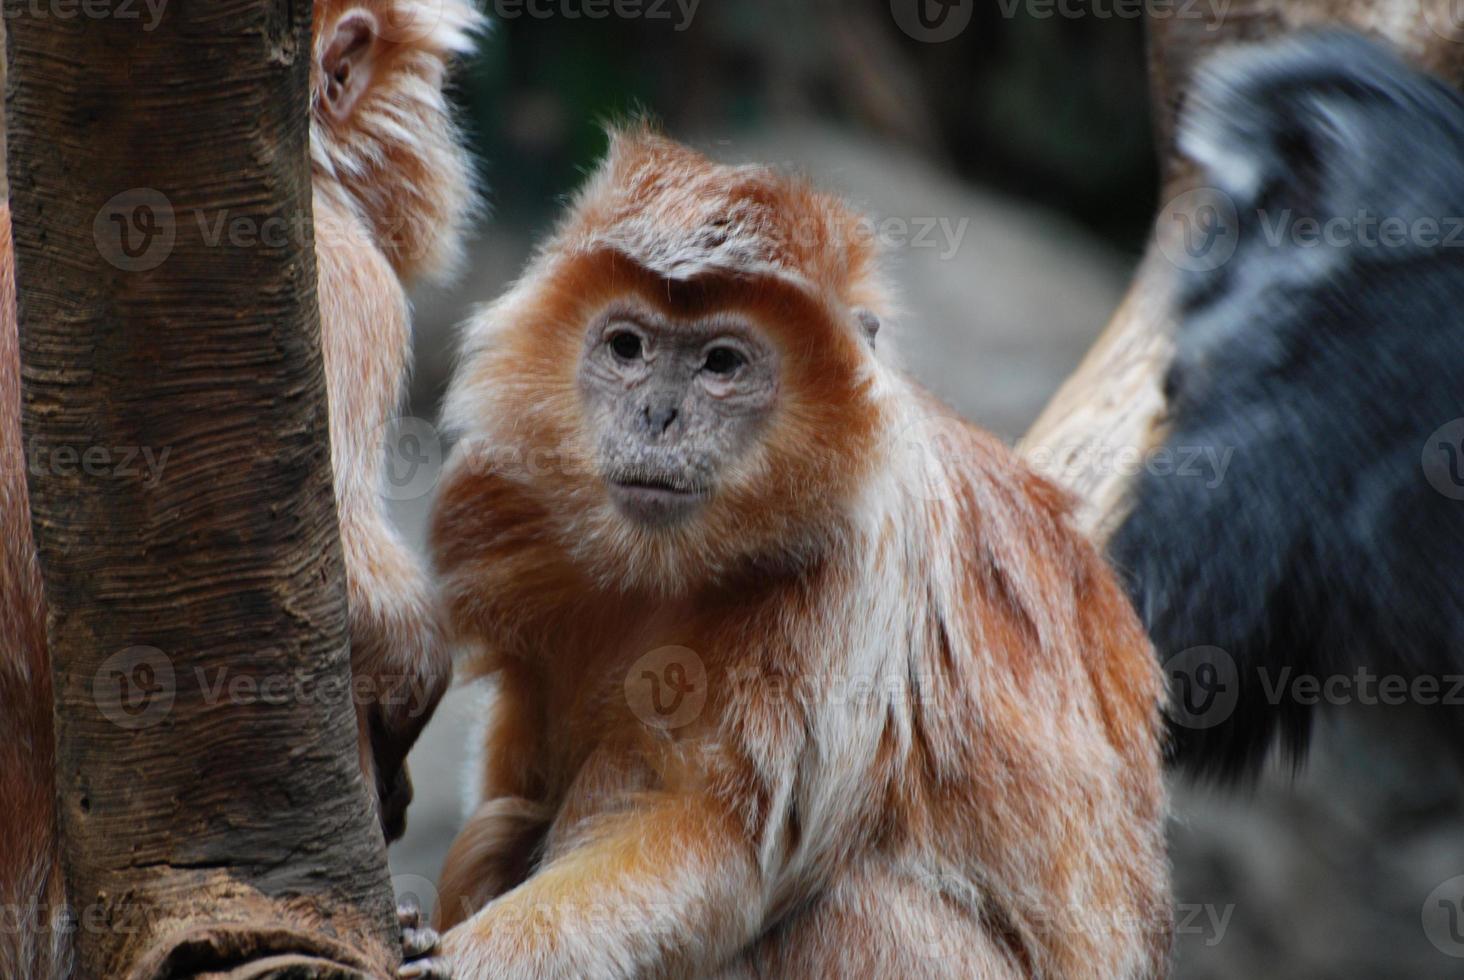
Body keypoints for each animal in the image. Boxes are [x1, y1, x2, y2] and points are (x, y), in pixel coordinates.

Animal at [416, 127, 1171, 979]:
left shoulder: (861, 567)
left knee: (838, 906)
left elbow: (719, 841)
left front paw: (460, 959)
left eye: (720, 364)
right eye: (627, 348)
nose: (656, 416)